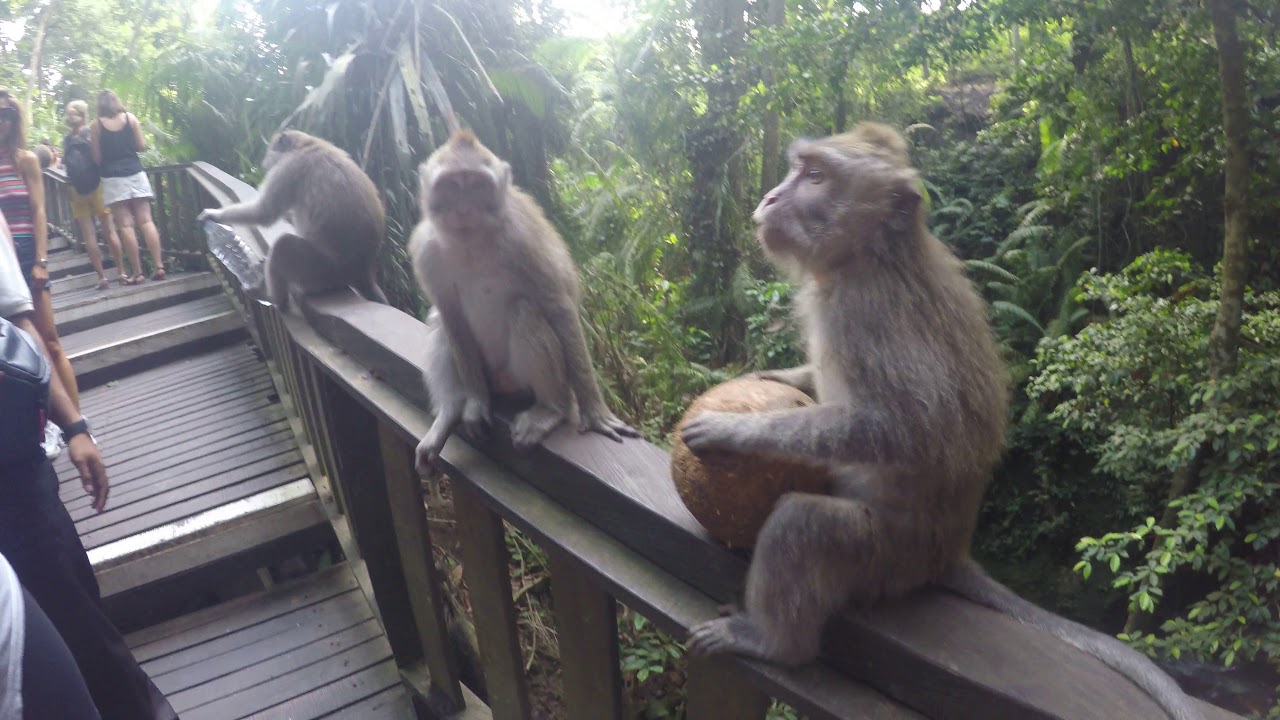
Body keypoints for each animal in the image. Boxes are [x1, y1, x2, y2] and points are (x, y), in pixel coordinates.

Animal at [197, 130, 388, 311]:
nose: (265, 161)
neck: (309, 144)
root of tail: (363, 272)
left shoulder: (289, 167)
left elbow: (264, 213)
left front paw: (214, 215)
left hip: (326, 272)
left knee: (283, 246)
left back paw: (273, 298)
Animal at [408, 129, 639, 474]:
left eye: (477, 185)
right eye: (452, 185)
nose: (464, 209)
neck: (471, 244)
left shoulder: (524, 239)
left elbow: (557, 306)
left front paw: (597, 414)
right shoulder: (427, 251)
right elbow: (451, 315)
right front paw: (474, 405)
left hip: (522, 380)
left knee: (525, 310)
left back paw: (551, 409)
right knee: (441, 324)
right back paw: (451, 410)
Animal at [680, 123, 1201, 720]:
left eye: (814, 177)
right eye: (799, 169)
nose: (769, 198)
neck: (868, 256)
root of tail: (948, 552)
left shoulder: (868, 313)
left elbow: (905, 430)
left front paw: (735, 433)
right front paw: (776, 377)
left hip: (889, 557)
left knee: (803, 524)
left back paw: (774, 643)